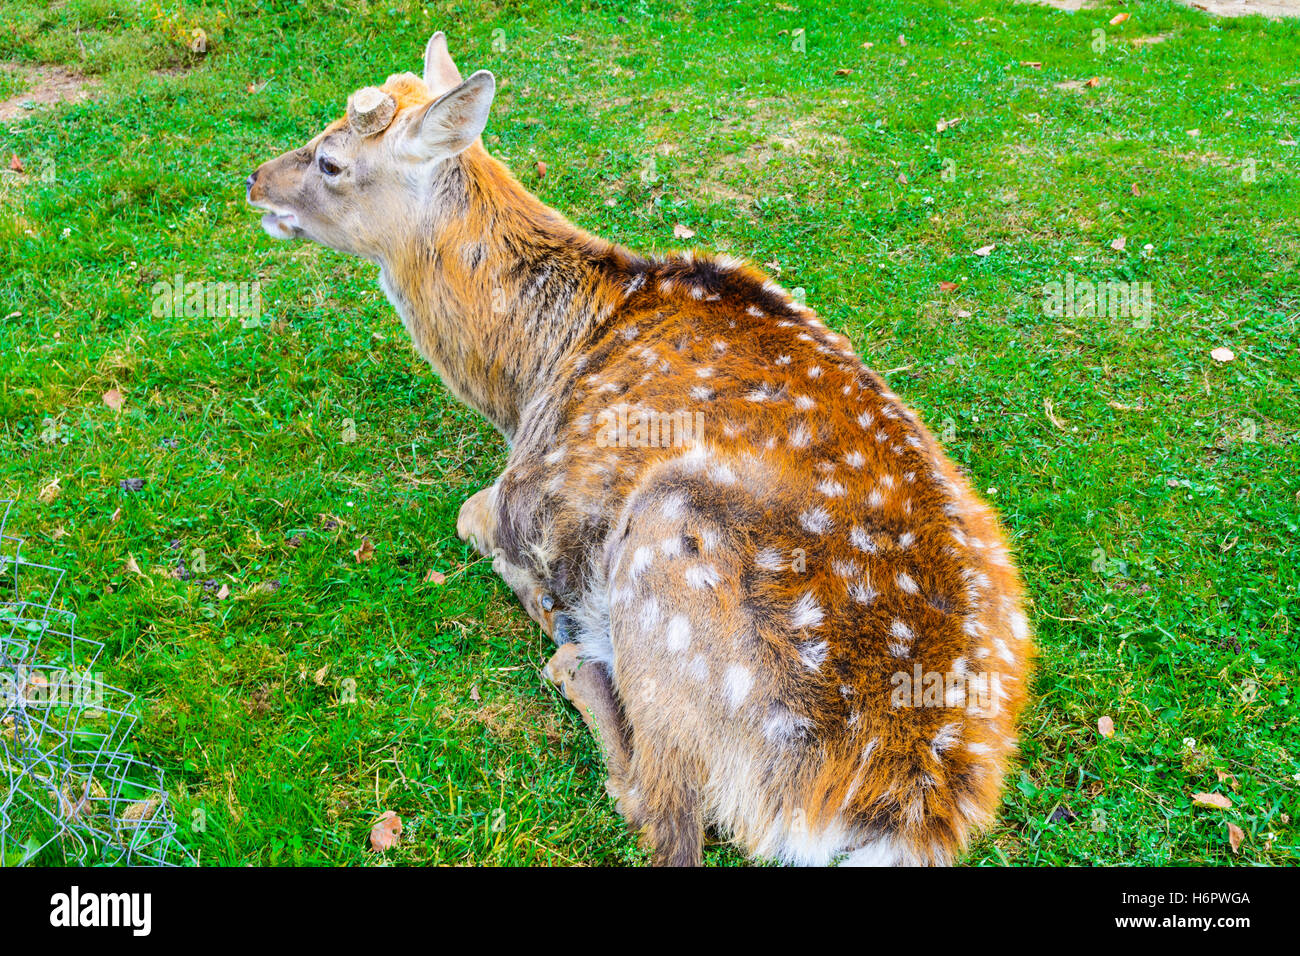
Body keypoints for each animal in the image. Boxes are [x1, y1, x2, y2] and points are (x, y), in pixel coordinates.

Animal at [246, 31, 1032, 866]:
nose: (255, 180)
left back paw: (574, 650)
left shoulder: (521, 494)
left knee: (664, 810)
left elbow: (470, 515)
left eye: (332, 160)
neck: (528, 374)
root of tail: (905, 814)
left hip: (669, 548)